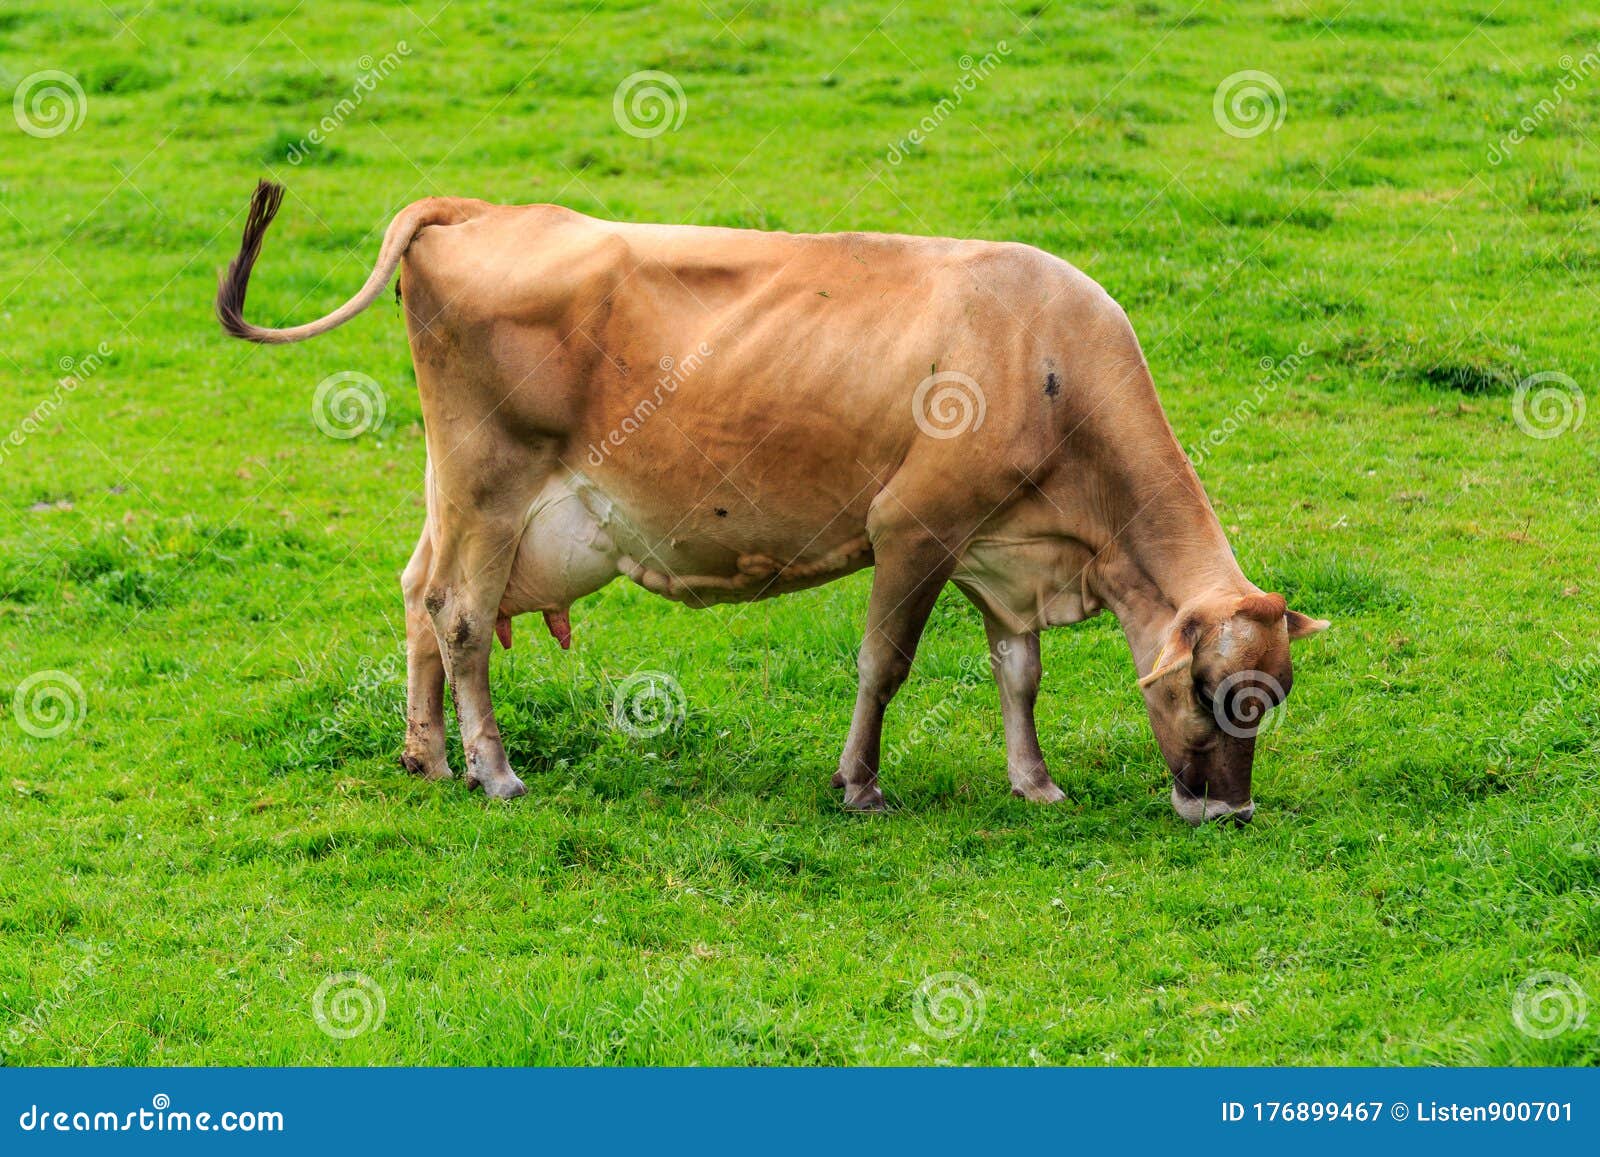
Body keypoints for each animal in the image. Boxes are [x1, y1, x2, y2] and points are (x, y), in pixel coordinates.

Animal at [216, 181, 1327, 825]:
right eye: (1219, 695)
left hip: (450, 492)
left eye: (1272, 697)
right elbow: (885, 665)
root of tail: (478, 209)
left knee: (417, 595)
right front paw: (860, 784)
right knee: (458, 618)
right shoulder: (913, 527)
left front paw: (1035, 780)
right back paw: (494, 772)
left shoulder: (1000, 549)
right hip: (491, 485)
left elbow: (1021, 673)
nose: (1230, 814)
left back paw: (426, 757)